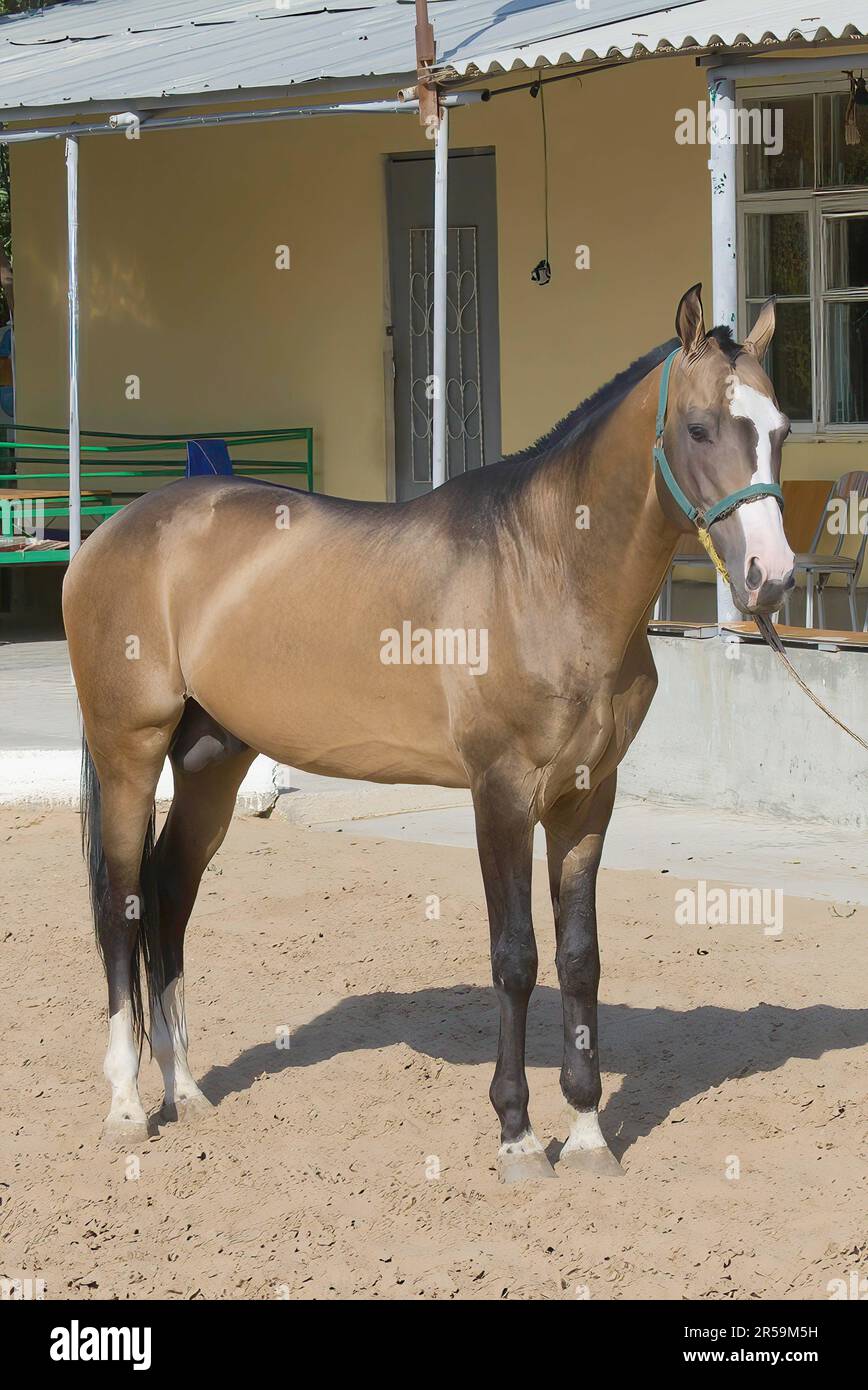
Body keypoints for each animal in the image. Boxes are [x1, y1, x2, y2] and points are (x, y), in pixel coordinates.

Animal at [63, 284, 795, 1183]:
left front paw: (589, 1133)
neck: (546, 568)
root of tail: (109, 534)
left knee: (170, 890)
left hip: (210, 764)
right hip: (129, 753)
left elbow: (579, 959)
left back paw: (187, 1092)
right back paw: (128, 1108)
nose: (772, 576)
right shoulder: (501, 793)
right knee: (123, 907)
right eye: (698, 428)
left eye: (780, 429)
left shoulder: (587, 799)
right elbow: (515, 957)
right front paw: (518, 1136)